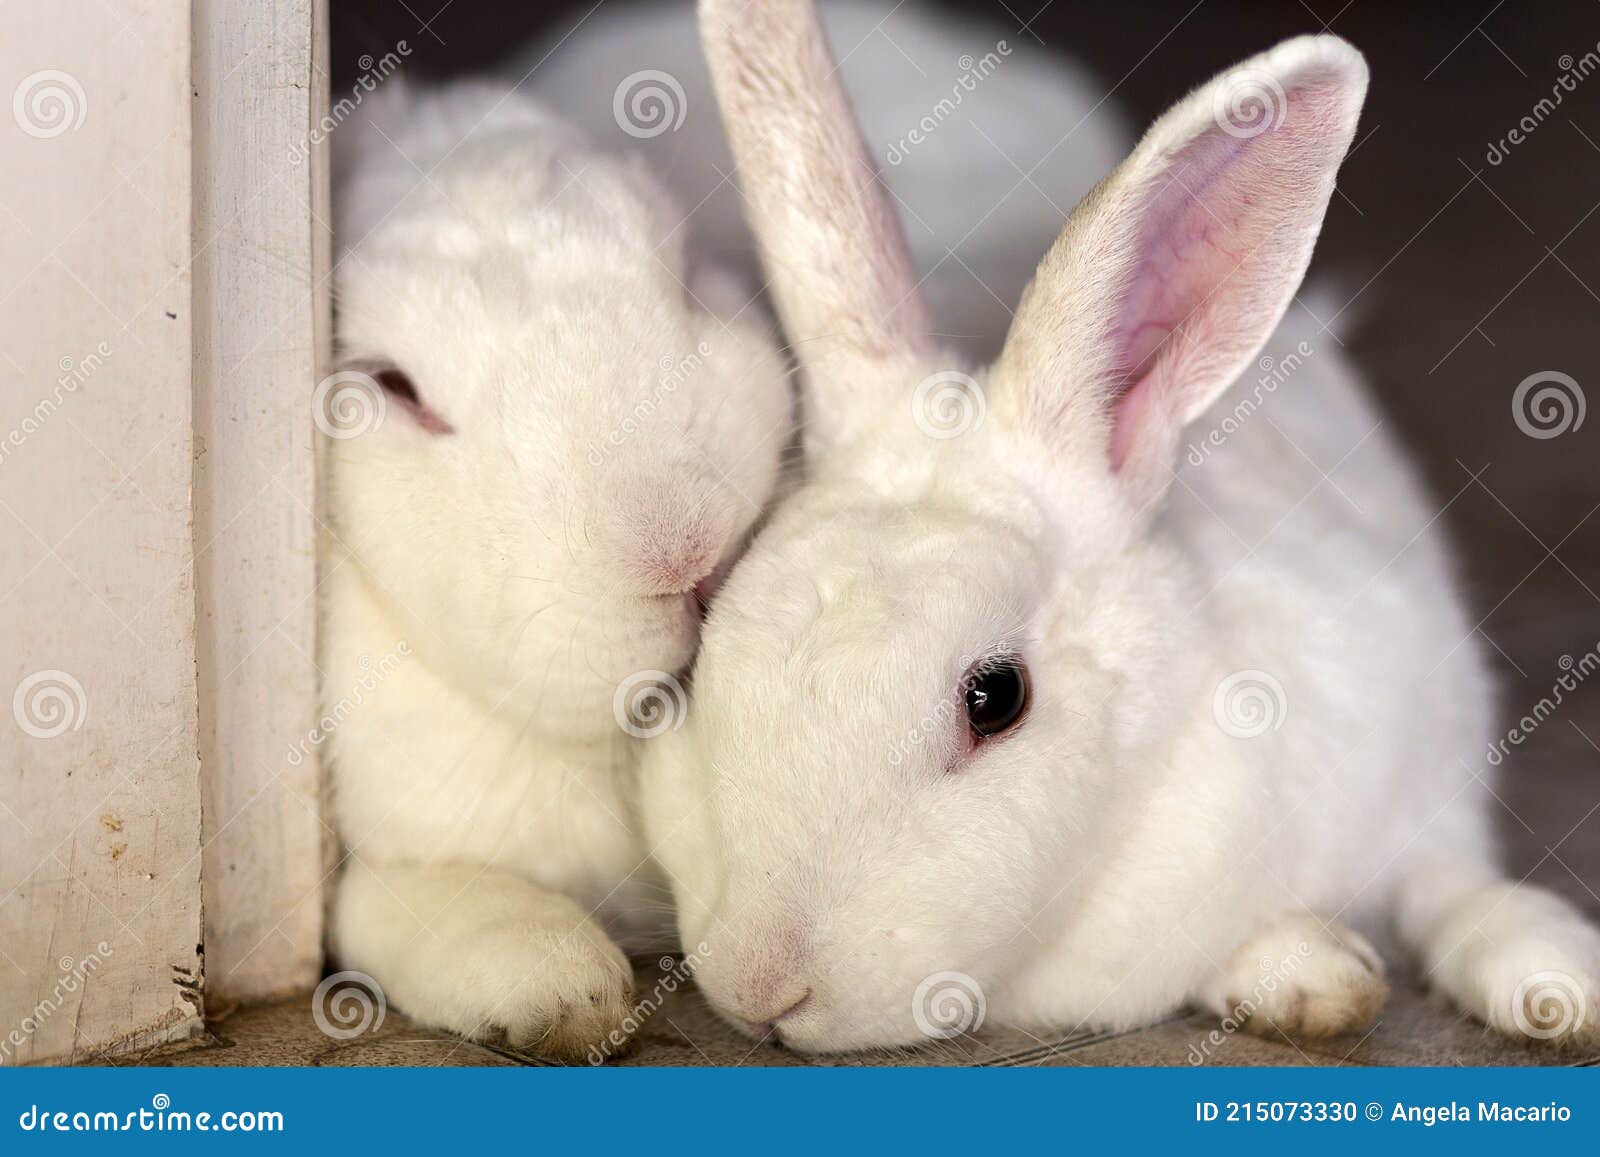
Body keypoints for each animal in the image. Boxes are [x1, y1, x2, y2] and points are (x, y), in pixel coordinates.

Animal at [637, 0, 1600, 1054]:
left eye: (996, 698)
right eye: (703, 651)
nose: (758, 982)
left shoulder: (1428, 745)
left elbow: (1458, 885)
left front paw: (1559, 979)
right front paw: (1310, 971)